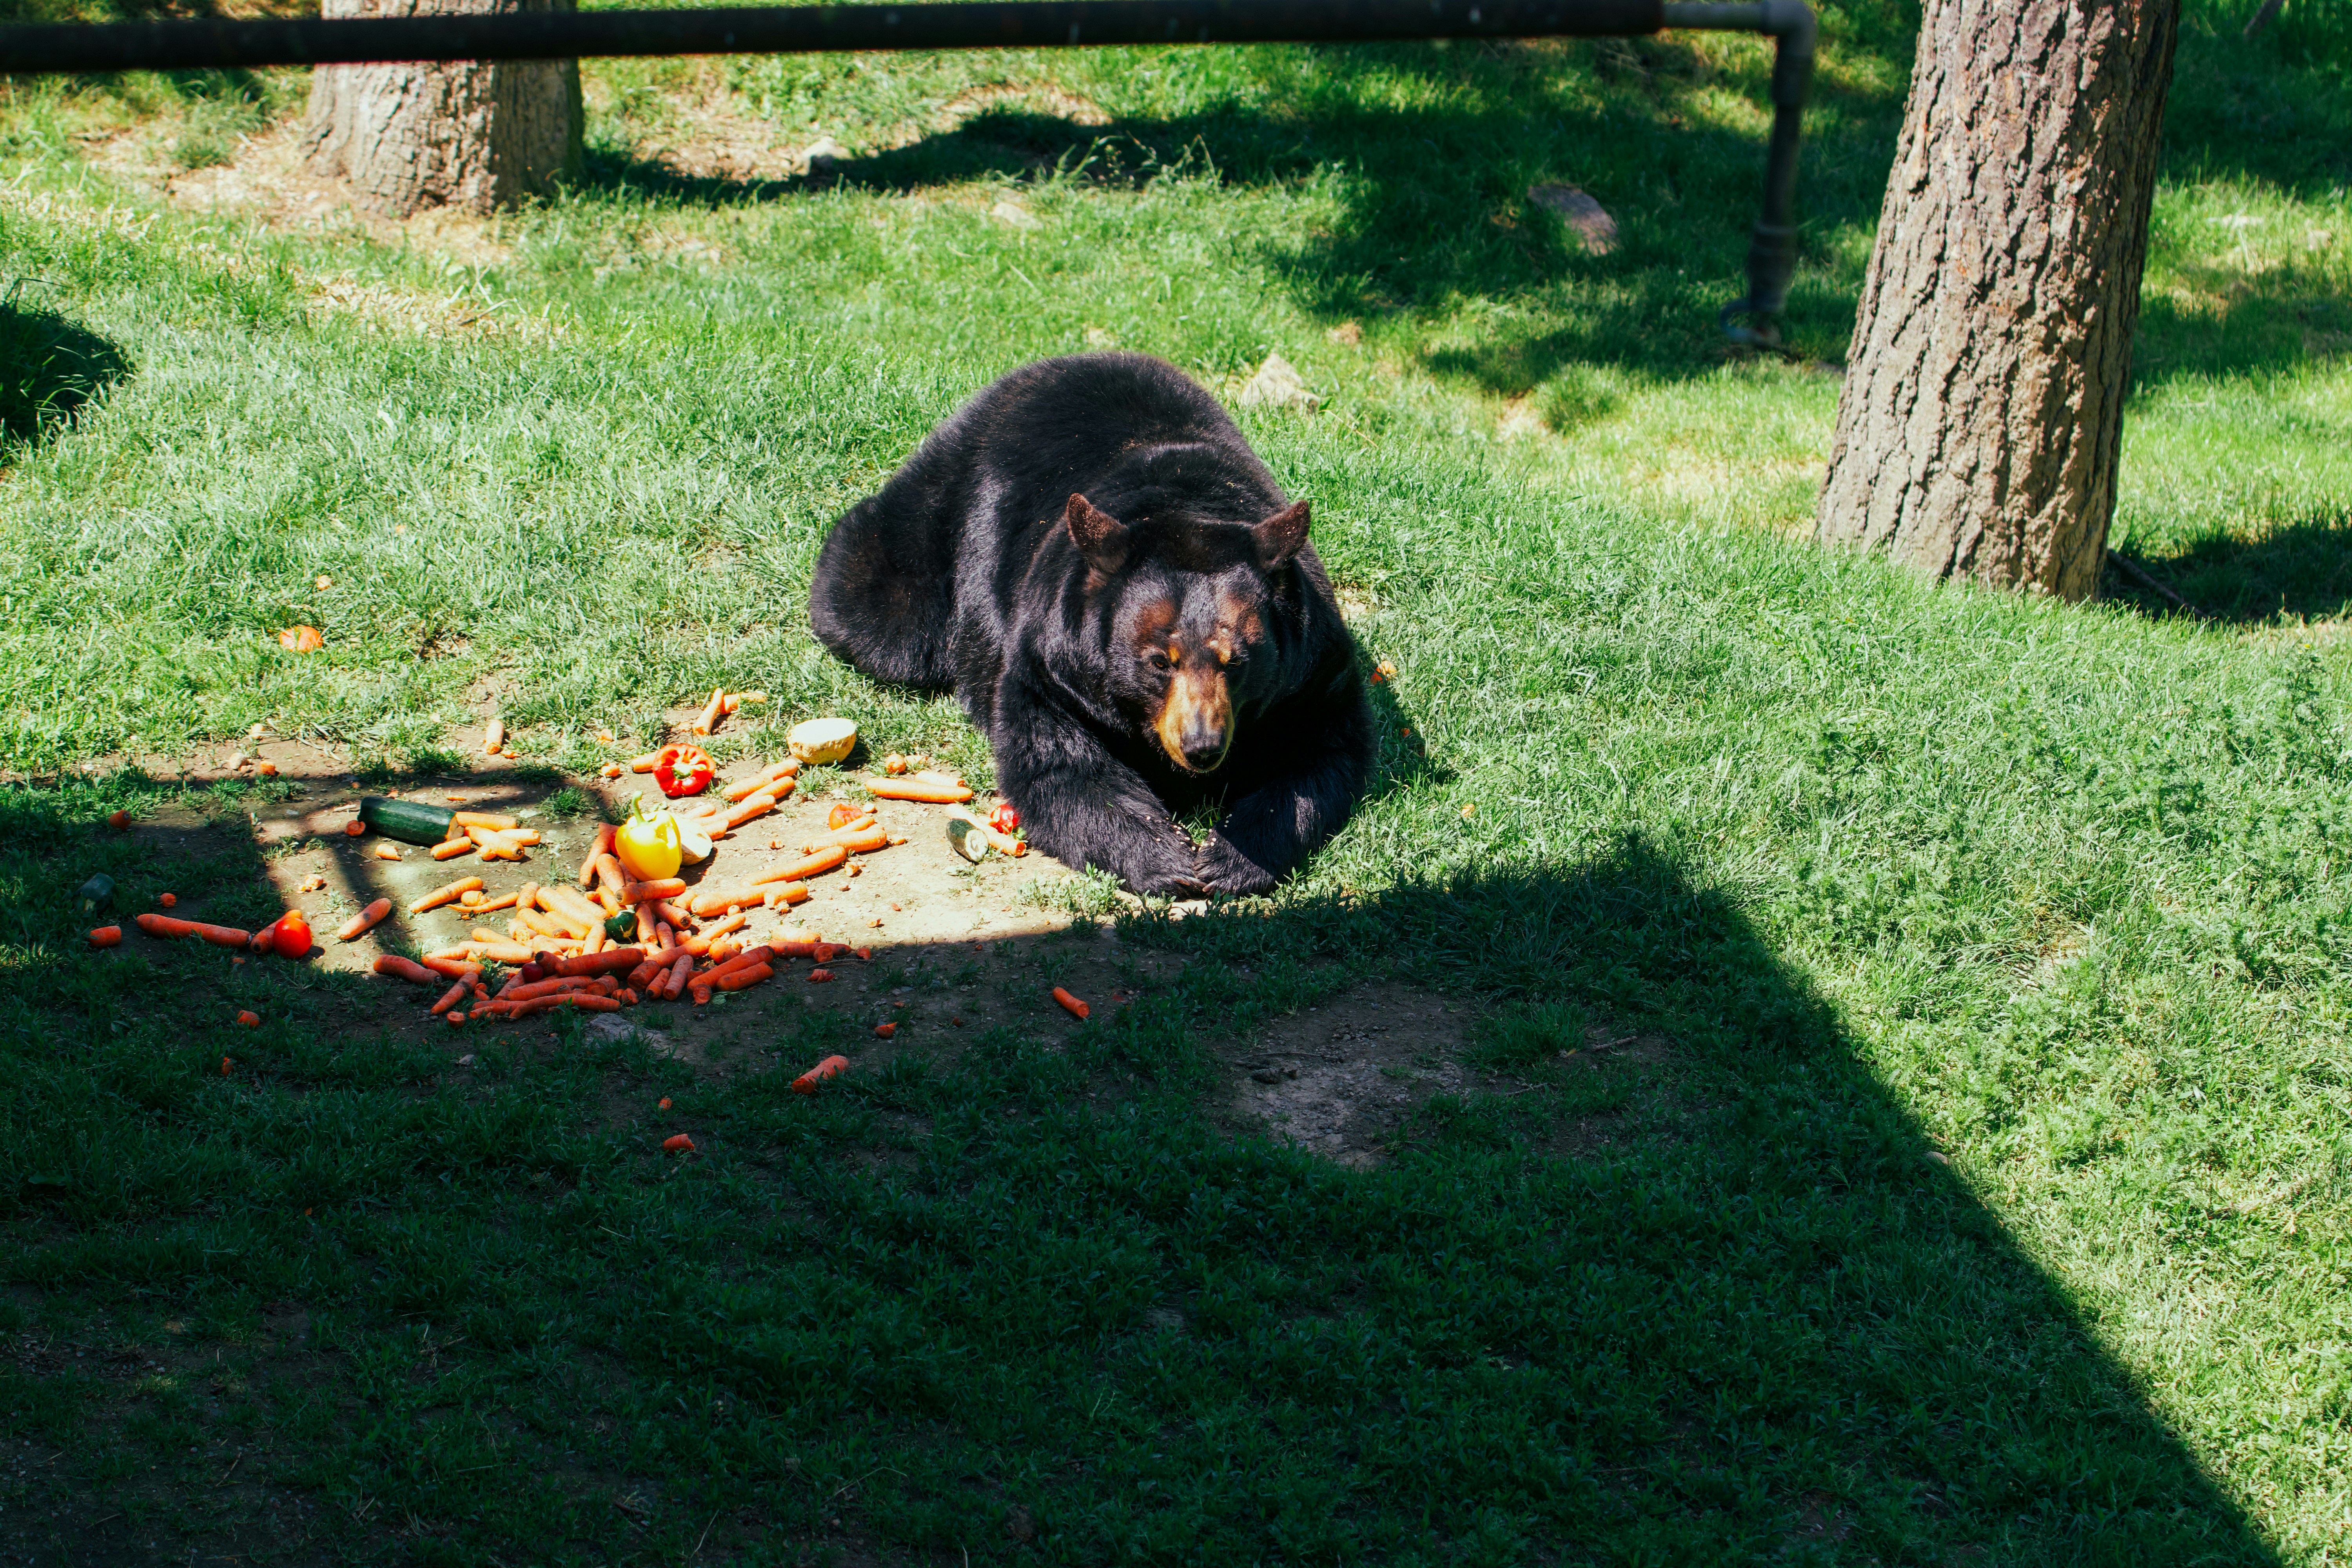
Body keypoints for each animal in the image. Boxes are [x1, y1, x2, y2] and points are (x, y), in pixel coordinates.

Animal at [809, 352, 1376, 897]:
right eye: (1158, 663)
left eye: (1236, 662)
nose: (1203, 747)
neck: (1185, 504)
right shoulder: (1053, 661)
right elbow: (1056, 758)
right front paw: (1163, 857)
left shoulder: (1313, 667)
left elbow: (1319, 751)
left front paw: (1232, 857)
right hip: (934, 525)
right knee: (872, 597)